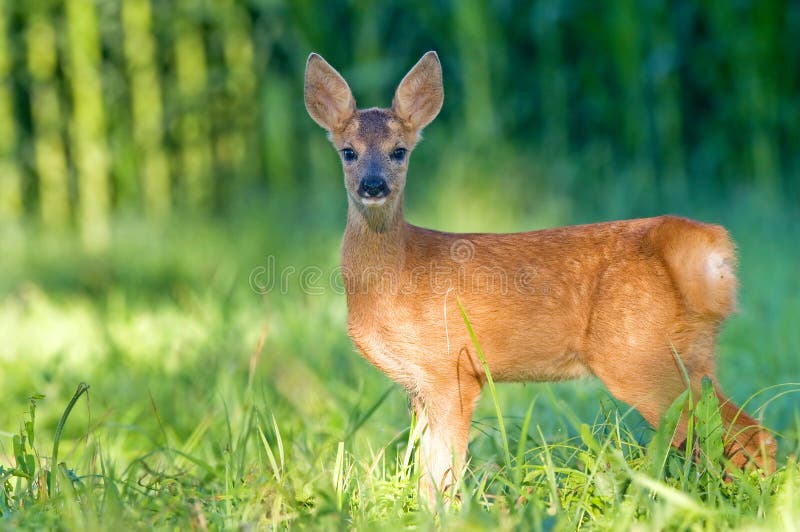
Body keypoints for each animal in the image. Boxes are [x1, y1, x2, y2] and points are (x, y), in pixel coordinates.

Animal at [303, 51, 776, 502]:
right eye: (348, 152)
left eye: (399, 151)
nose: (373, 185)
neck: (396, 274)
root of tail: (707, 250)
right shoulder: (417, 387)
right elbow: (424, 472)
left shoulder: (451, 369)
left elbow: (443, 473)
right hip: (693, 356)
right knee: (740, 435)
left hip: (642, 359)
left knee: (742, 436)